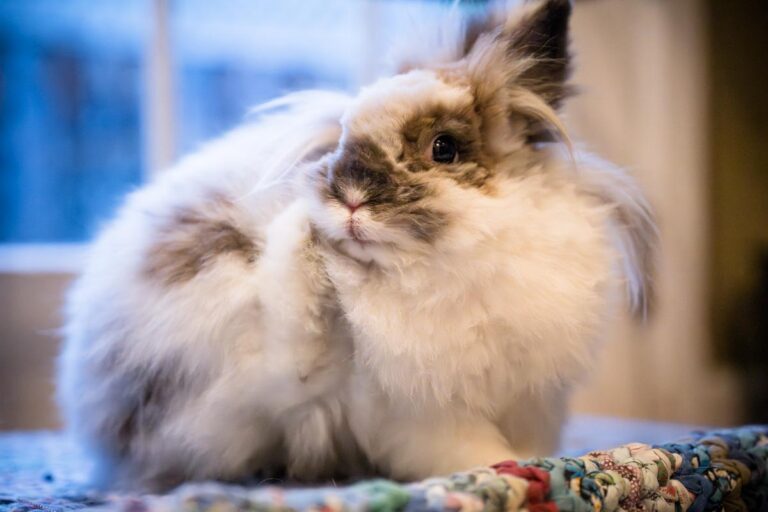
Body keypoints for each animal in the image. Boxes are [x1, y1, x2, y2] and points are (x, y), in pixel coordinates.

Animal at [58, 0, 656, 492]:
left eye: (444, 148)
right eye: (343, 139)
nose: (348, 196)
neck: (447, 268)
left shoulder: (531, 397)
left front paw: (532, 460)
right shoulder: (419, 413)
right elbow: (463, 448)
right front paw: (496, 466)